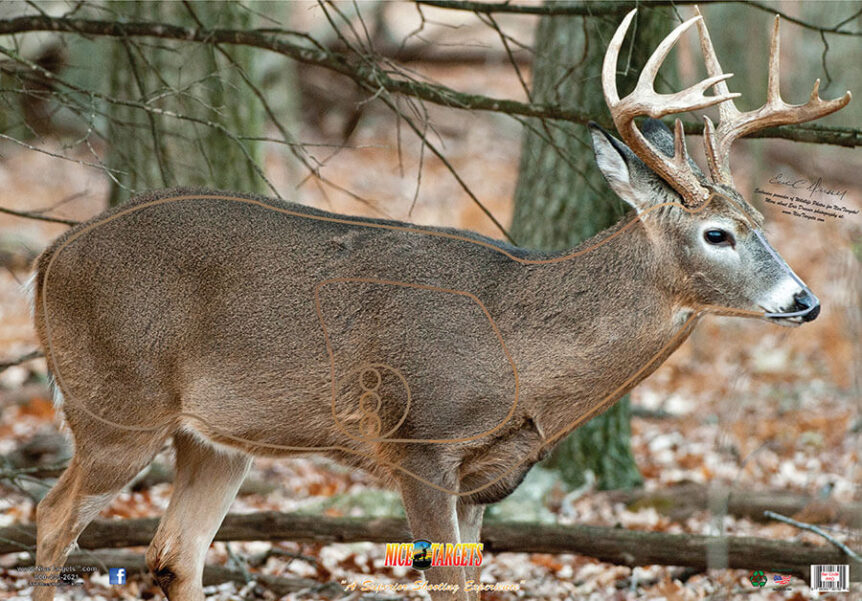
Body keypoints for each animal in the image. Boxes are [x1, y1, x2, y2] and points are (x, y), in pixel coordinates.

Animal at [29, 8, 849, 601]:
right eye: (717, 233)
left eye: (761, 220)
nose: (804, 300)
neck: (522, 354)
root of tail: (48, 257)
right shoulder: (419, 437)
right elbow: (448, 583)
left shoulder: (490, 473)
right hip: (116, 403)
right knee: (50, 517)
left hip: (217, 437)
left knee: (174, 554)